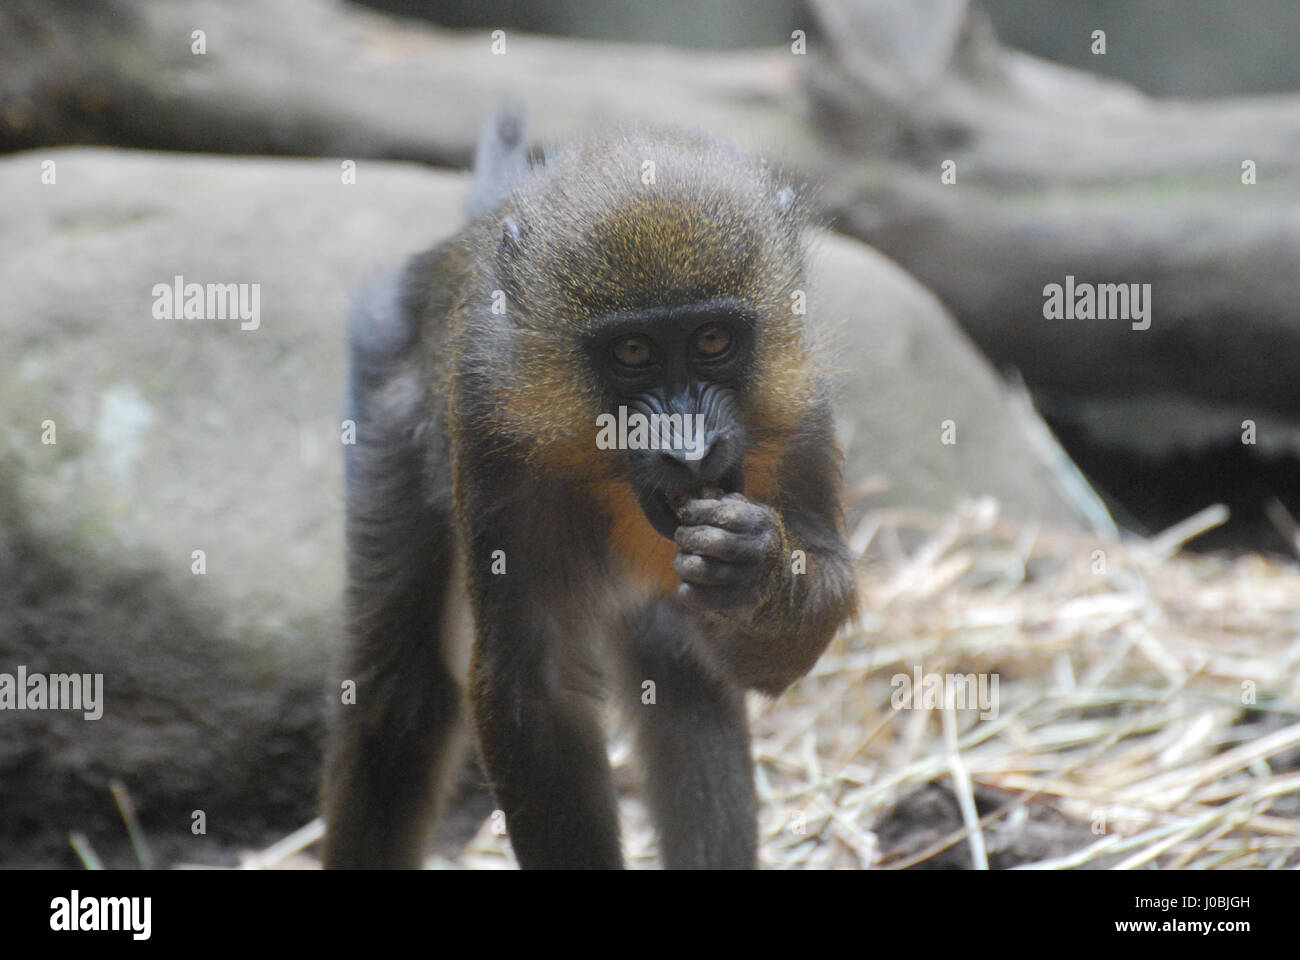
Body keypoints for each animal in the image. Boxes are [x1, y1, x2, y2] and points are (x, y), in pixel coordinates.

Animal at [320, 108, 858, 870]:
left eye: (713, 340)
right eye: (632, 352)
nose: (689, 447)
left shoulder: (798, 402)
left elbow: (811, 611)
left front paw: (756, 565)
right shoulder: (487, 424)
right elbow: (533, 683)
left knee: (680, 669)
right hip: (383, 390)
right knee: (399, 697)